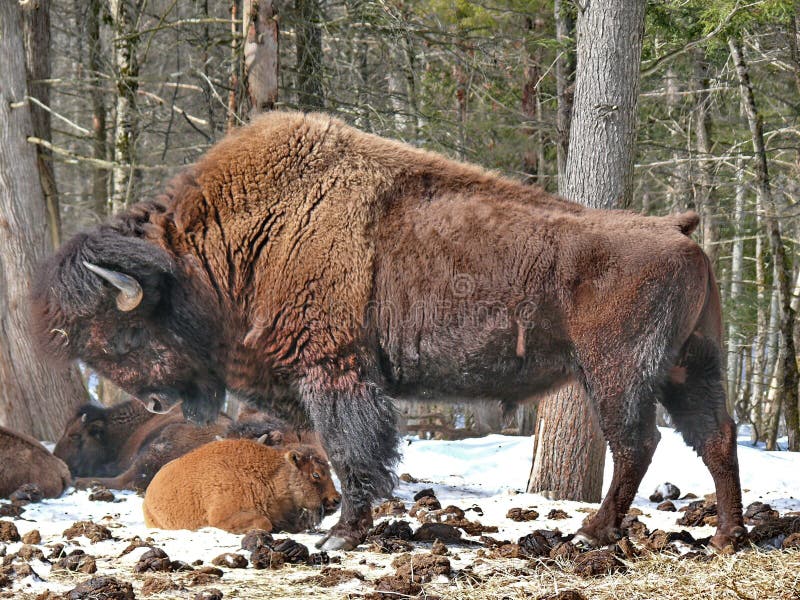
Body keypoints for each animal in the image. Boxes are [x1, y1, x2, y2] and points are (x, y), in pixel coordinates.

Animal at [32, 111, 745, 551]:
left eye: (118, 331)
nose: (154, 404)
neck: (239, 242)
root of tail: (676, 231)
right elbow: (336, 452)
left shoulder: (335, 372)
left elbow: (354, 454)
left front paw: (342, 532)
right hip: (691, 366)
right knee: (716, 437)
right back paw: (728, 536)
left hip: (618, 371)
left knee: (638, 442)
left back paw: (595, 533)